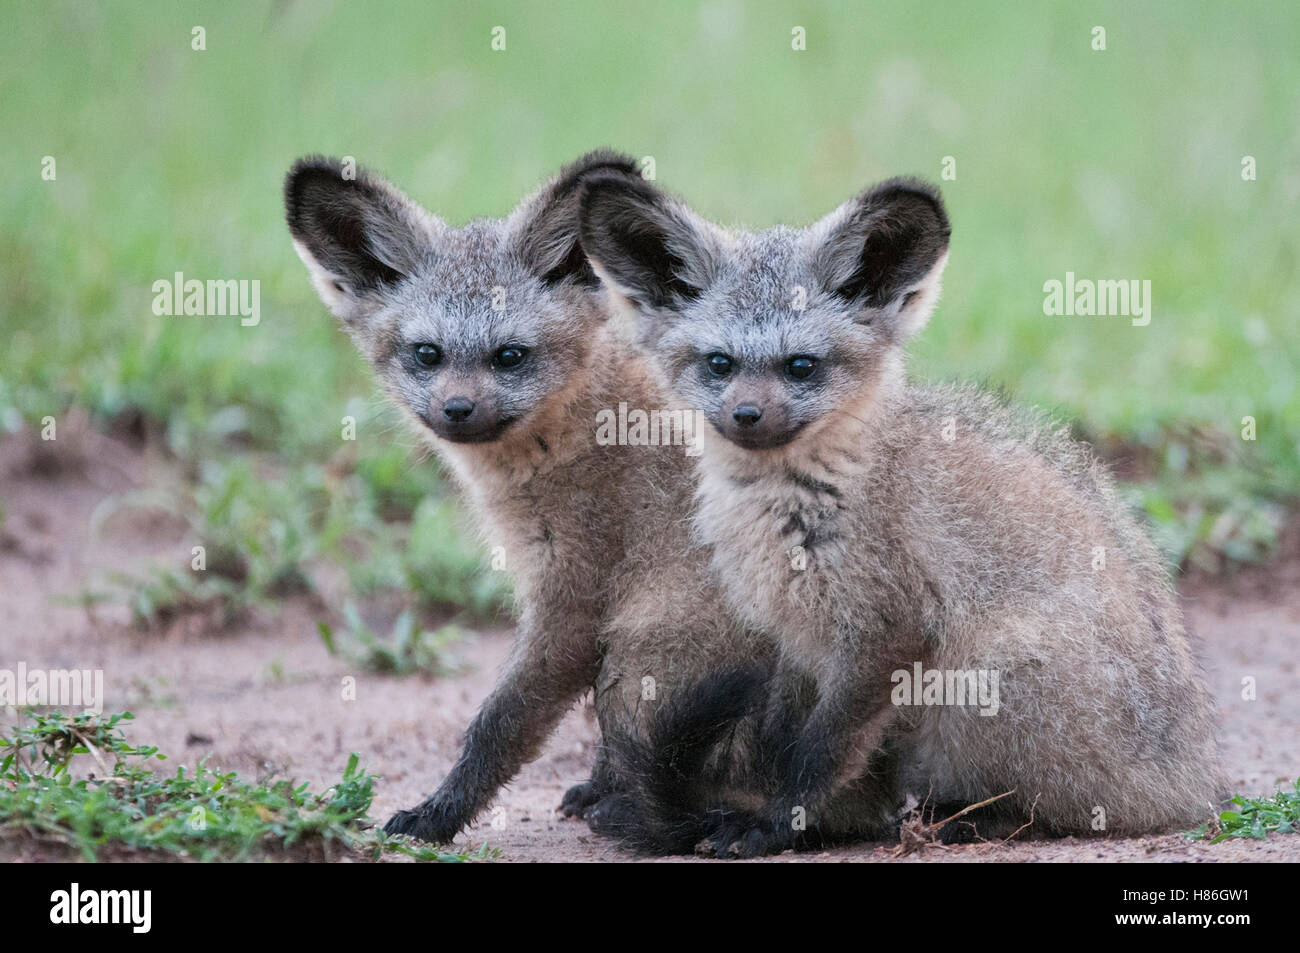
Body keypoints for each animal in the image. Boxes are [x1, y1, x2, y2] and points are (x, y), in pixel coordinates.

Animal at [283, 150, 781, 847]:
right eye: (427, 354)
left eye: (510, 356)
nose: (457, 410)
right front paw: (595, 788)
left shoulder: (574, 604)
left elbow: (500, 725)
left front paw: (439, 814)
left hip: (650, 643)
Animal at [576, 171, 1225, 857]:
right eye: (719, 363)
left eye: (801, 366)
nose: (746, 416)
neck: (803, 496)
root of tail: (1197, 787)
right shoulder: (797, 641)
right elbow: (782, 742)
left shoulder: (886, 635)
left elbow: (817, 755)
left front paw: (776, 823)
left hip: (987, 669)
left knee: (1051, 808)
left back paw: (970, 819)